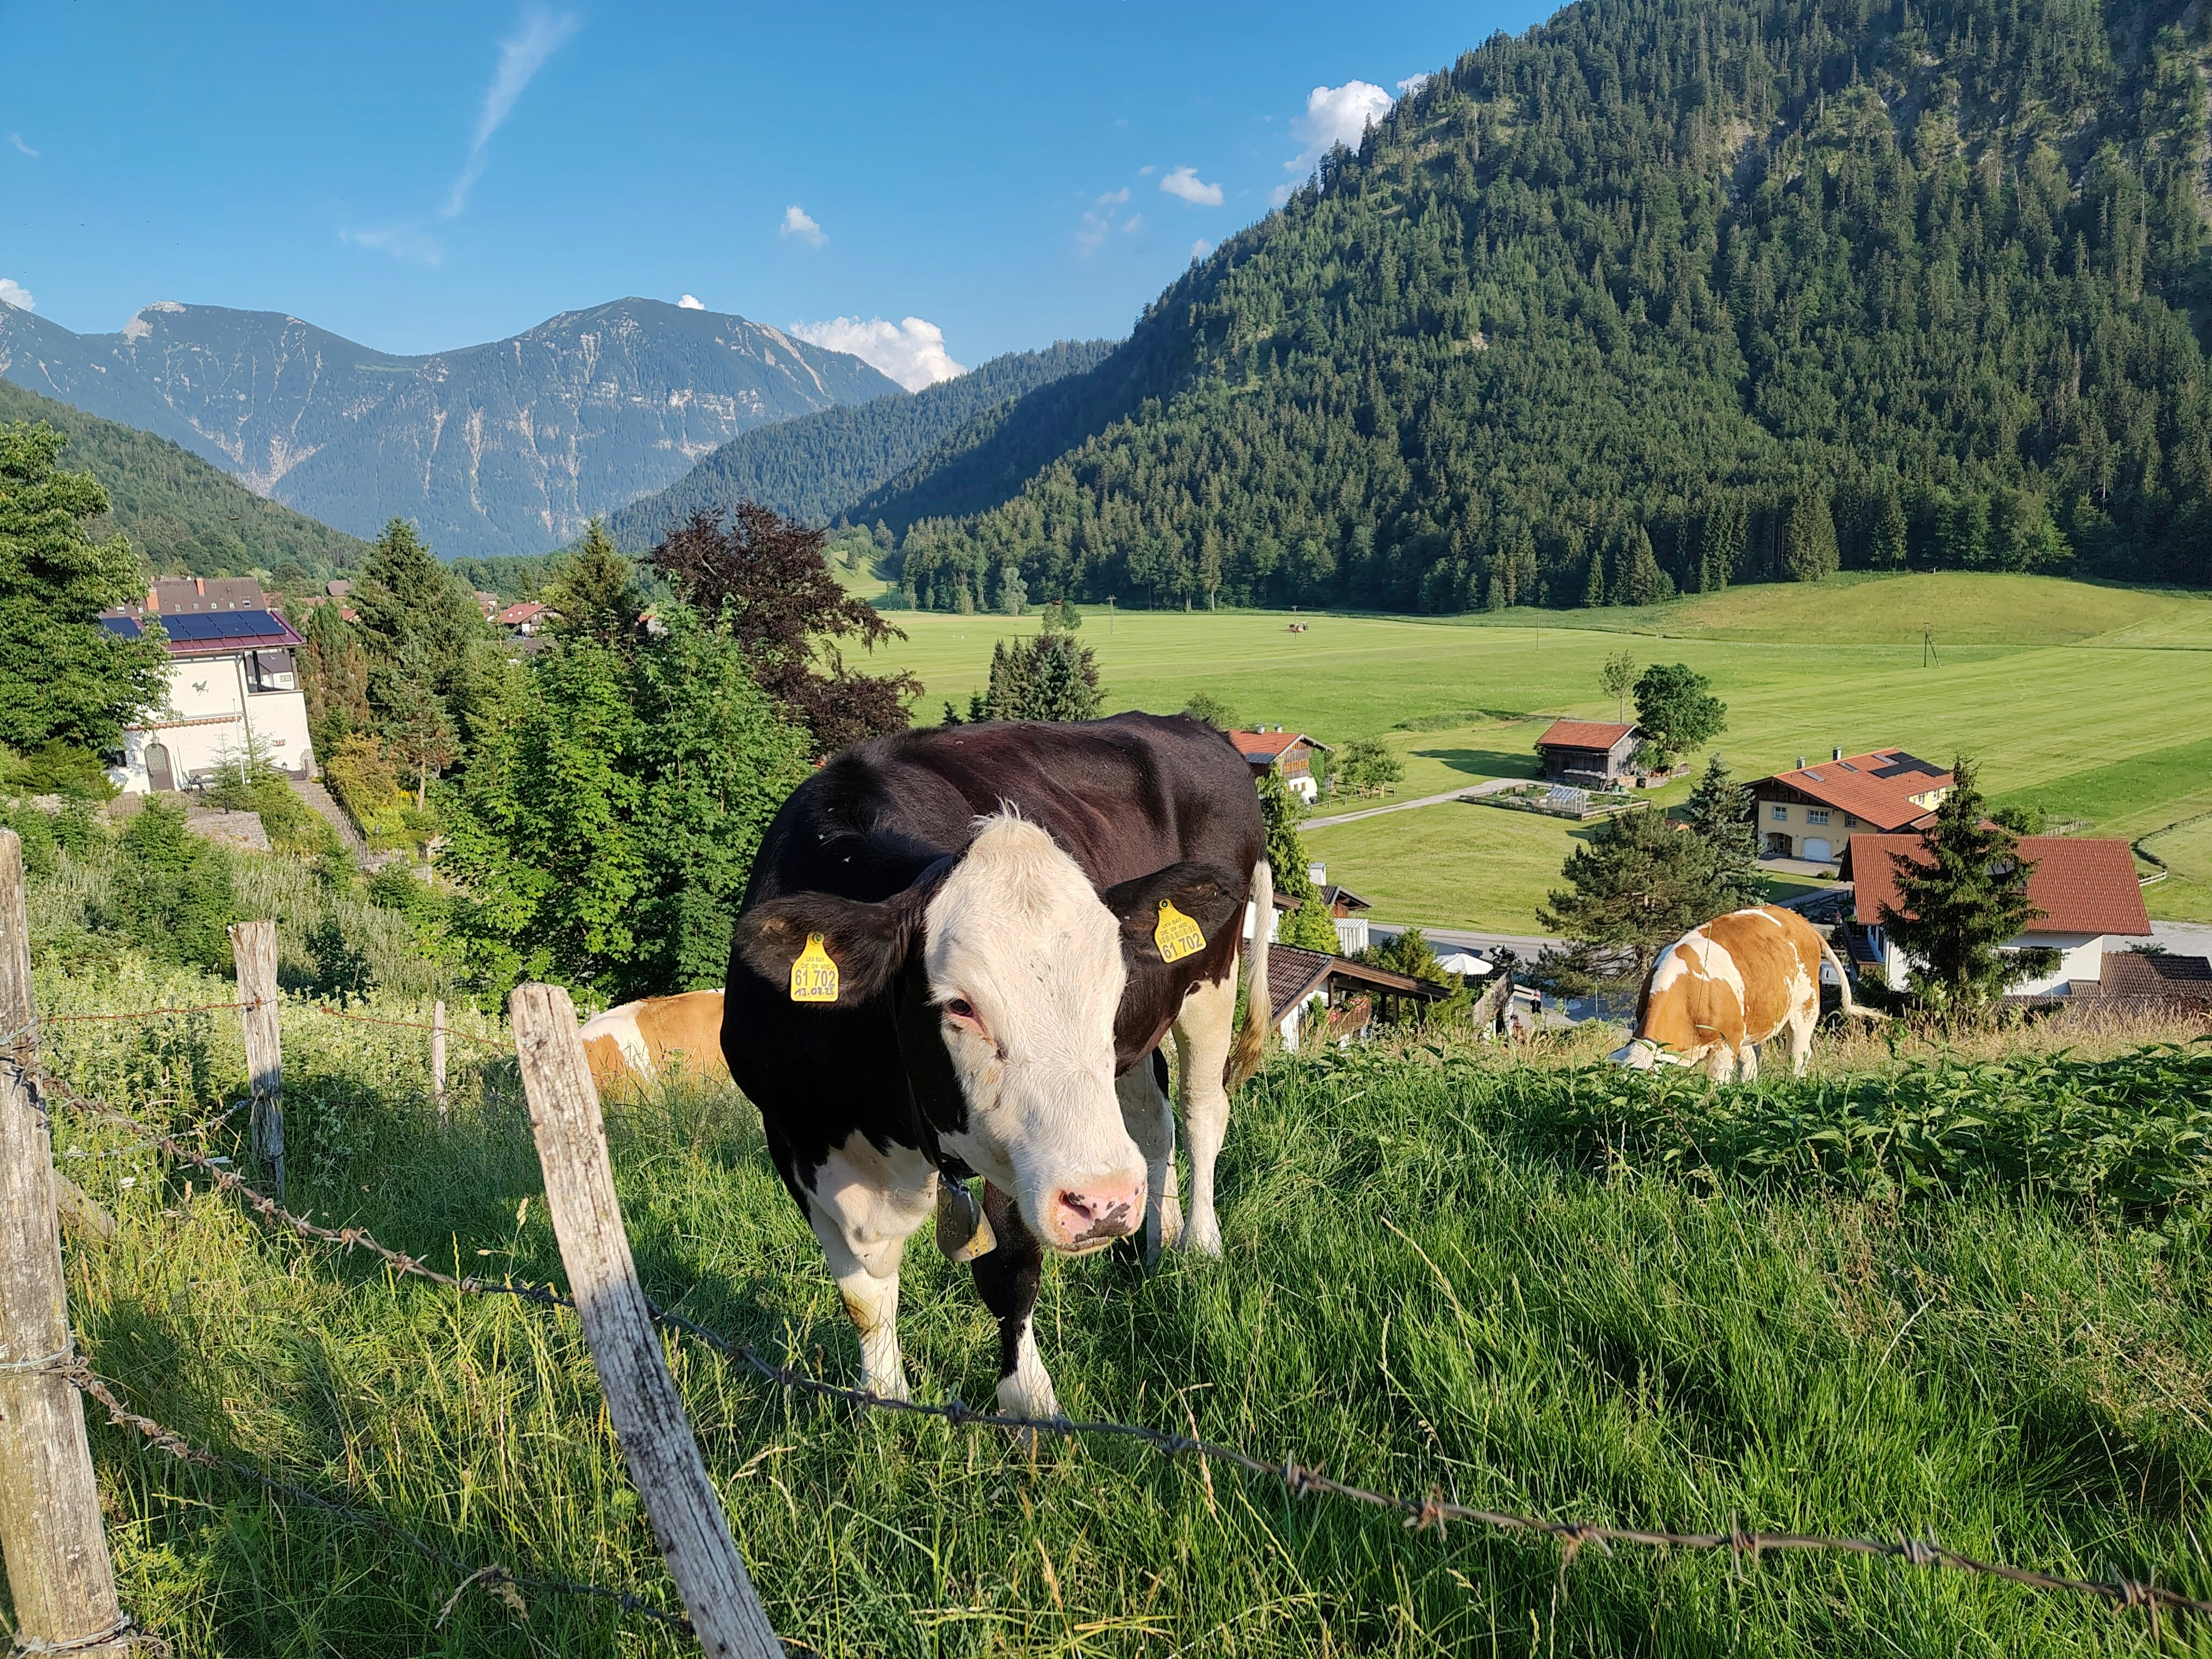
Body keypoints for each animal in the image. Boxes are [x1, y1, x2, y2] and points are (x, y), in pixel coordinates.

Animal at [721, 713, 1271, 1417]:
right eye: (960, 1005)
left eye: (1114, 980)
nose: (1103, 1203)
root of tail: (1192, 725)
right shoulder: (793, 1137)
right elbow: (862, 1293)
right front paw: (884, 1398)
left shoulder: (1015, 1155)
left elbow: (1009, 1270)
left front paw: (1029, 1400)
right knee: (1154, 1126)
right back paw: (1156, 1238)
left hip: (1210, 980)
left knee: (1203, 1113)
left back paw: (1199, 1243)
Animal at [1612, 905, 1883, 1080]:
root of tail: (1798, 920)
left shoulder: (1726, 1045)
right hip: (1750, 1021)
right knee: (1752, 1065)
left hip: (1805, 1007)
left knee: (1798, 1057)